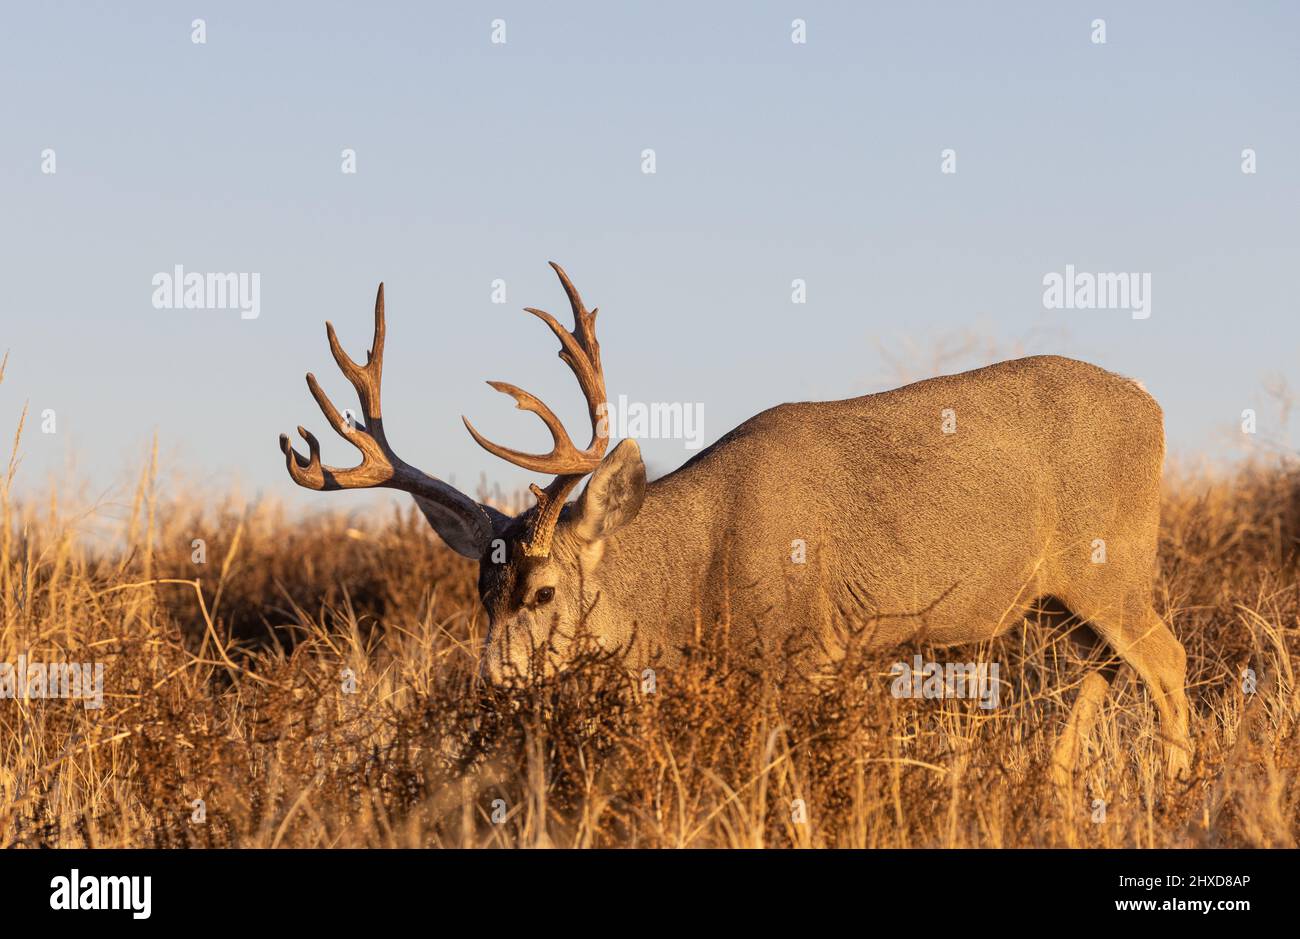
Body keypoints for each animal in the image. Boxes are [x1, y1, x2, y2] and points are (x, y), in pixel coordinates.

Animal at [278, 262, 1192, 782]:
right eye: (479, 590)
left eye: (541, 592)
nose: (489, 684)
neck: (691, 582)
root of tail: (1155, 408)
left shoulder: (810, 646)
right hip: (1059, 596)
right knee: (1108, 667)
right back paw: (1061, 789)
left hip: (1110, 559)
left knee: (1167, 659)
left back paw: (1179, 786)